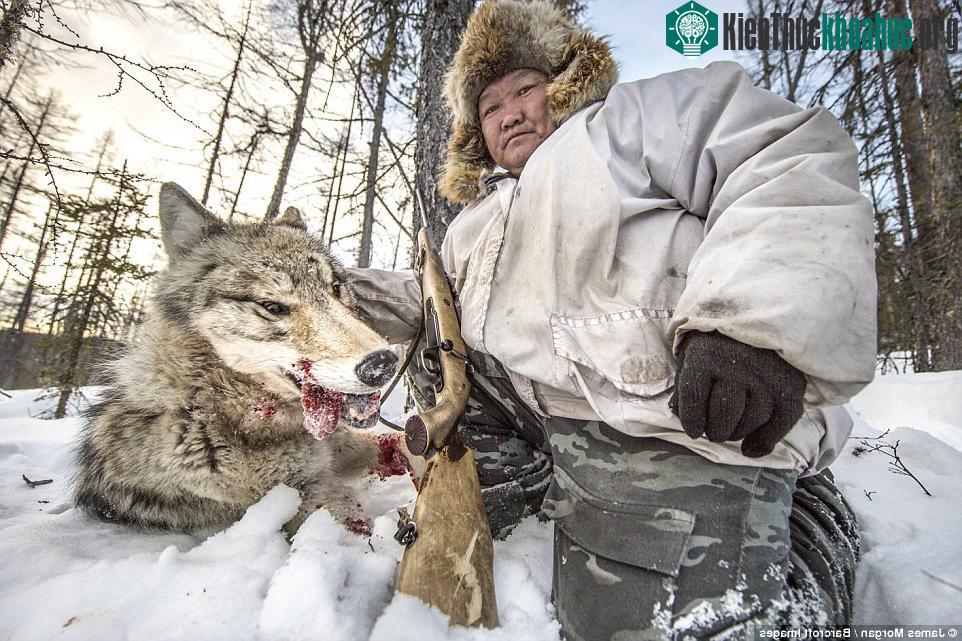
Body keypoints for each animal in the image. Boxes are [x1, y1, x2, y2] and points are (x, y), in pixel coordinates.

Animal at [72, 182, 408, 532]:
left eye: (336, 288)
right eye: (272, 306)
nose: (383, 364)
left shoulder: (338, 448)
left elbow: (397, 441)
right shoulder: (302, 499)